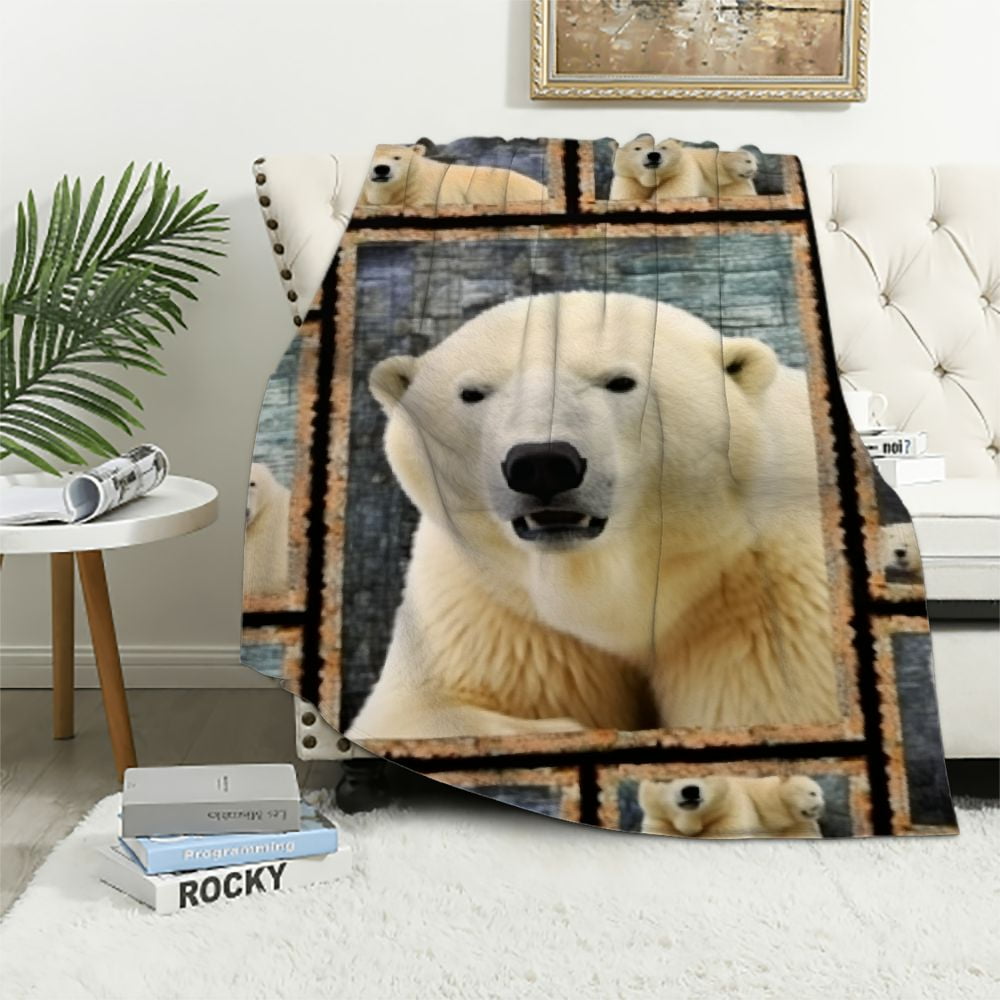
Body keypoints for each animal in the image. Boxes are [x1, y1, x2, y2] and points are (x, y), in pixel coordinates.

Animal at [347, 291, 840, 741]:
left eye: (620, 381)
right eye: (472, 393)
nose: (542, 463)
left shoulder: (769, 597)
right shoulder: (489, 604)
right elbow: (416, 710)